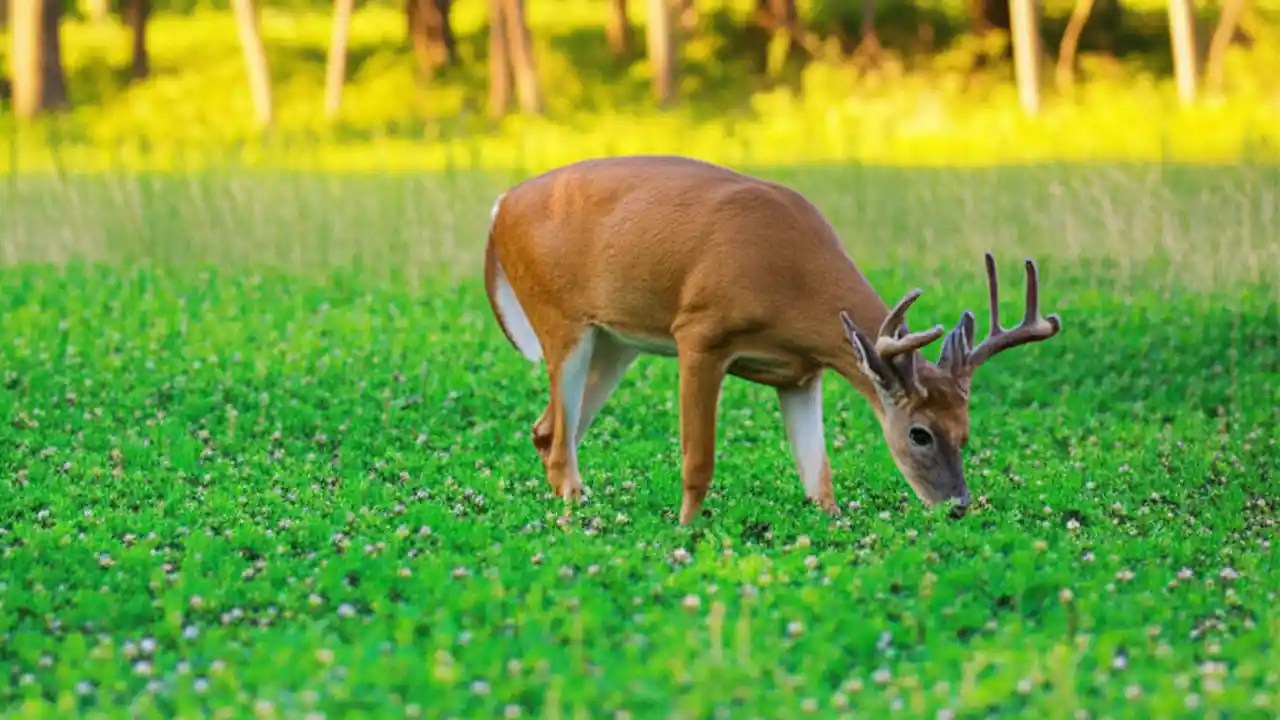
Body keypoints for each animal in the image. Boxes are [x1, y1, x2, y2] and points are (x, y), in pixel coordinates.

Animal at [482, 155, 1062, 525]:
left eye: (965, 432)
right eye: (919, 433)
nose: (958, 505)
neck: (791, 281)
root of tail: (498, 208)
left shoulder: (802, 373)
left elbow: (818, 478)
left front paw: (833, 526)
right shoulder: (700, 331)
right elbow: (698, 460)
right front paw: (685, 531)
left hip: (615, 341)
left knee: (547, 432)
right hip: (562, 319)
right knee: (560, 444)